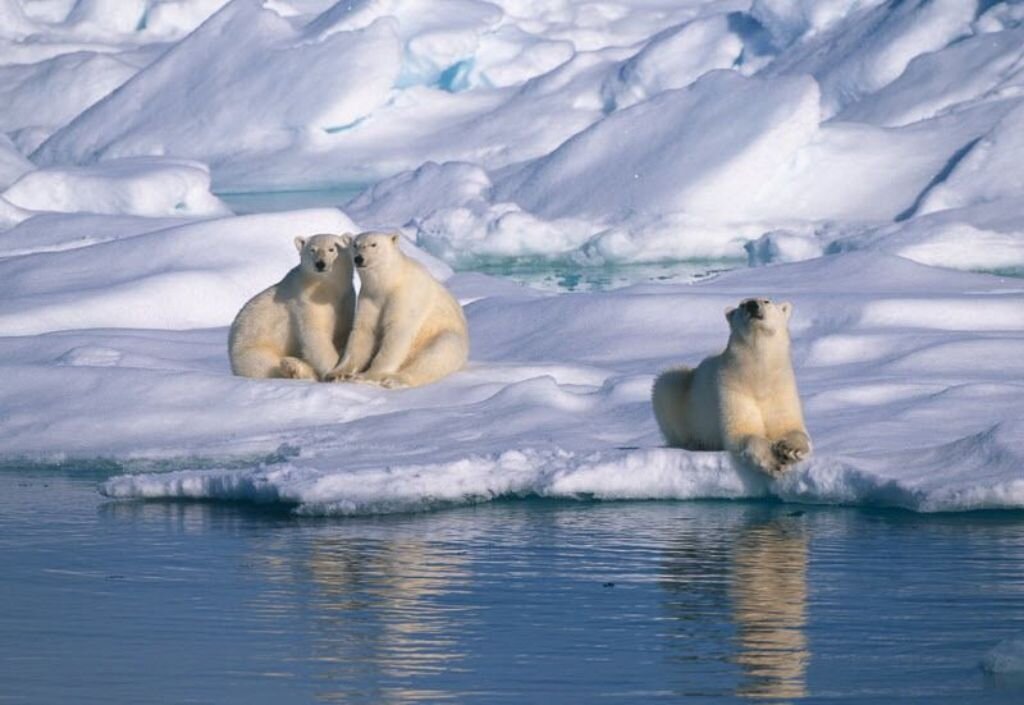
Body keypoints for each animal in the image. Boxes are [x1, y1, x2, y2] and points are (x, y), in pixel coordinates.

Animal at [228, 233, 356, 379]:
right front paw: (337, 371)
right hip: (253, 349)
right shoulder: (305, 301)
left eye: (331, 249)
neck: (327, 288)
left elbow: (343, 331)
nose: (320, 264)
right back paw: (294, 368)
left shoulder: (345, 299)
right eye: (312, 250)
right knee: (266, 365)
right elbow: (316, 336)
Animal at [323, 232, 468, 387]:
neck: (388, 282)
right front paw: (336, 374)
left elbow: (397, 332)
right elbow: (363, 331)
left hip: (444, 335)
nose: (359, 258)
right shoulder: (370, 297)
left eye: (374, 244)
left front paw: (367, 376)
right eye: (355, 245)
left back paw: (394, 379)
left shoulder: (405, 296)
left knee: (438, 353)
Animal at [651, 295, 811, 475]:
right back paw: (695, 442)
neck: (757, 378)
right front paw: (773, 461)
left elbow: (790, 426)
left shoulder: (780, 388)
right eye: (742, 304)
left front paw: (789, 449)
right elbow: (743, 431)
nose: (752, 305)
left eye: (766, 301)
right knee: (668, 383)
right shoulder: (732, 388)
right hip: (681, 391)